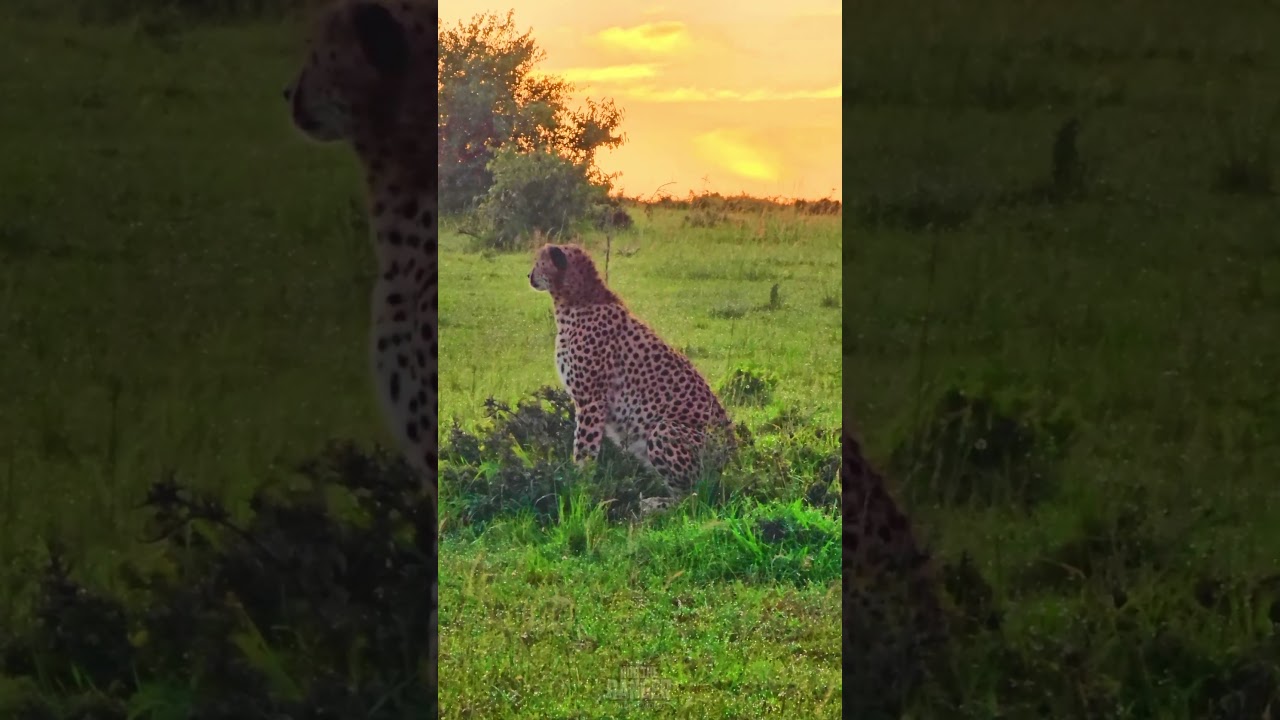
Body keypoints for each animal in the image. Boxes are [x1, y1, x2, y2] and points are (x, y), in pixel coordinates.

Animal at [528, 242, 735, 501]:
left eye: (538, 261)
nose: (529, 275)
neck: (577, 299)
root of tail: (736, 459)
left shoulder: (591, 400)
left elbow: (584, 449)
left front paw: (578, 485)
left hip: (663, 429)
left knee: (693, 497)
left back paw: (651, 504)